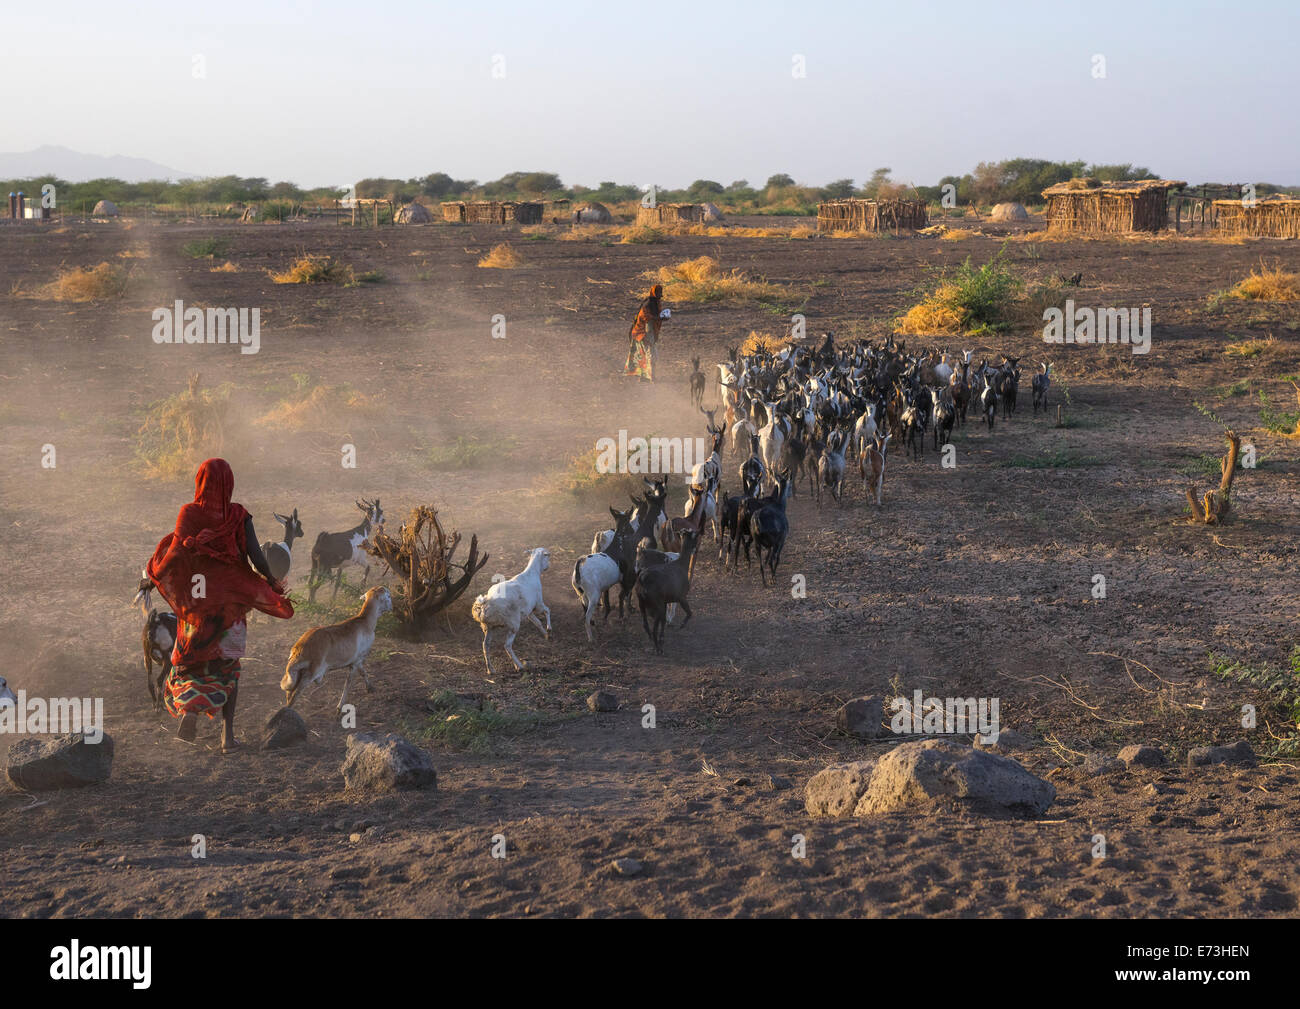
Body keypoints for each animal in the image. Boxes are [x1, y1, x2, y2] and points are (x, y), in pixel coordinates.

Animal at [133, 573, 177, 711]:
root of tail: (154, 622)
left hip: (148, 659)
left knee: (151, 683)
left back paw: (156, 704)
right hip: (166, 660)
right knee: (158, 681)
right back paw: (159, 705)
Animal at [472, 548, 551, 677]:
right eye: (547, 556)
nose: (547, 567)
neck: (532, 573)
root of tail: (486, 603)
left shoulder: (528, 611)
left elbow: (537, 622)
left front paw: (545, 634)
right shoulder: (538, 603)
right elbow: (547, 611)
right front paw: (549, 629)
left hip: (488, 626)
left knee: (485, 645)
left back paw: (491, 669)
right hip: (513, 623)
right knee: (507, 645)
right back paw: (519, 665)